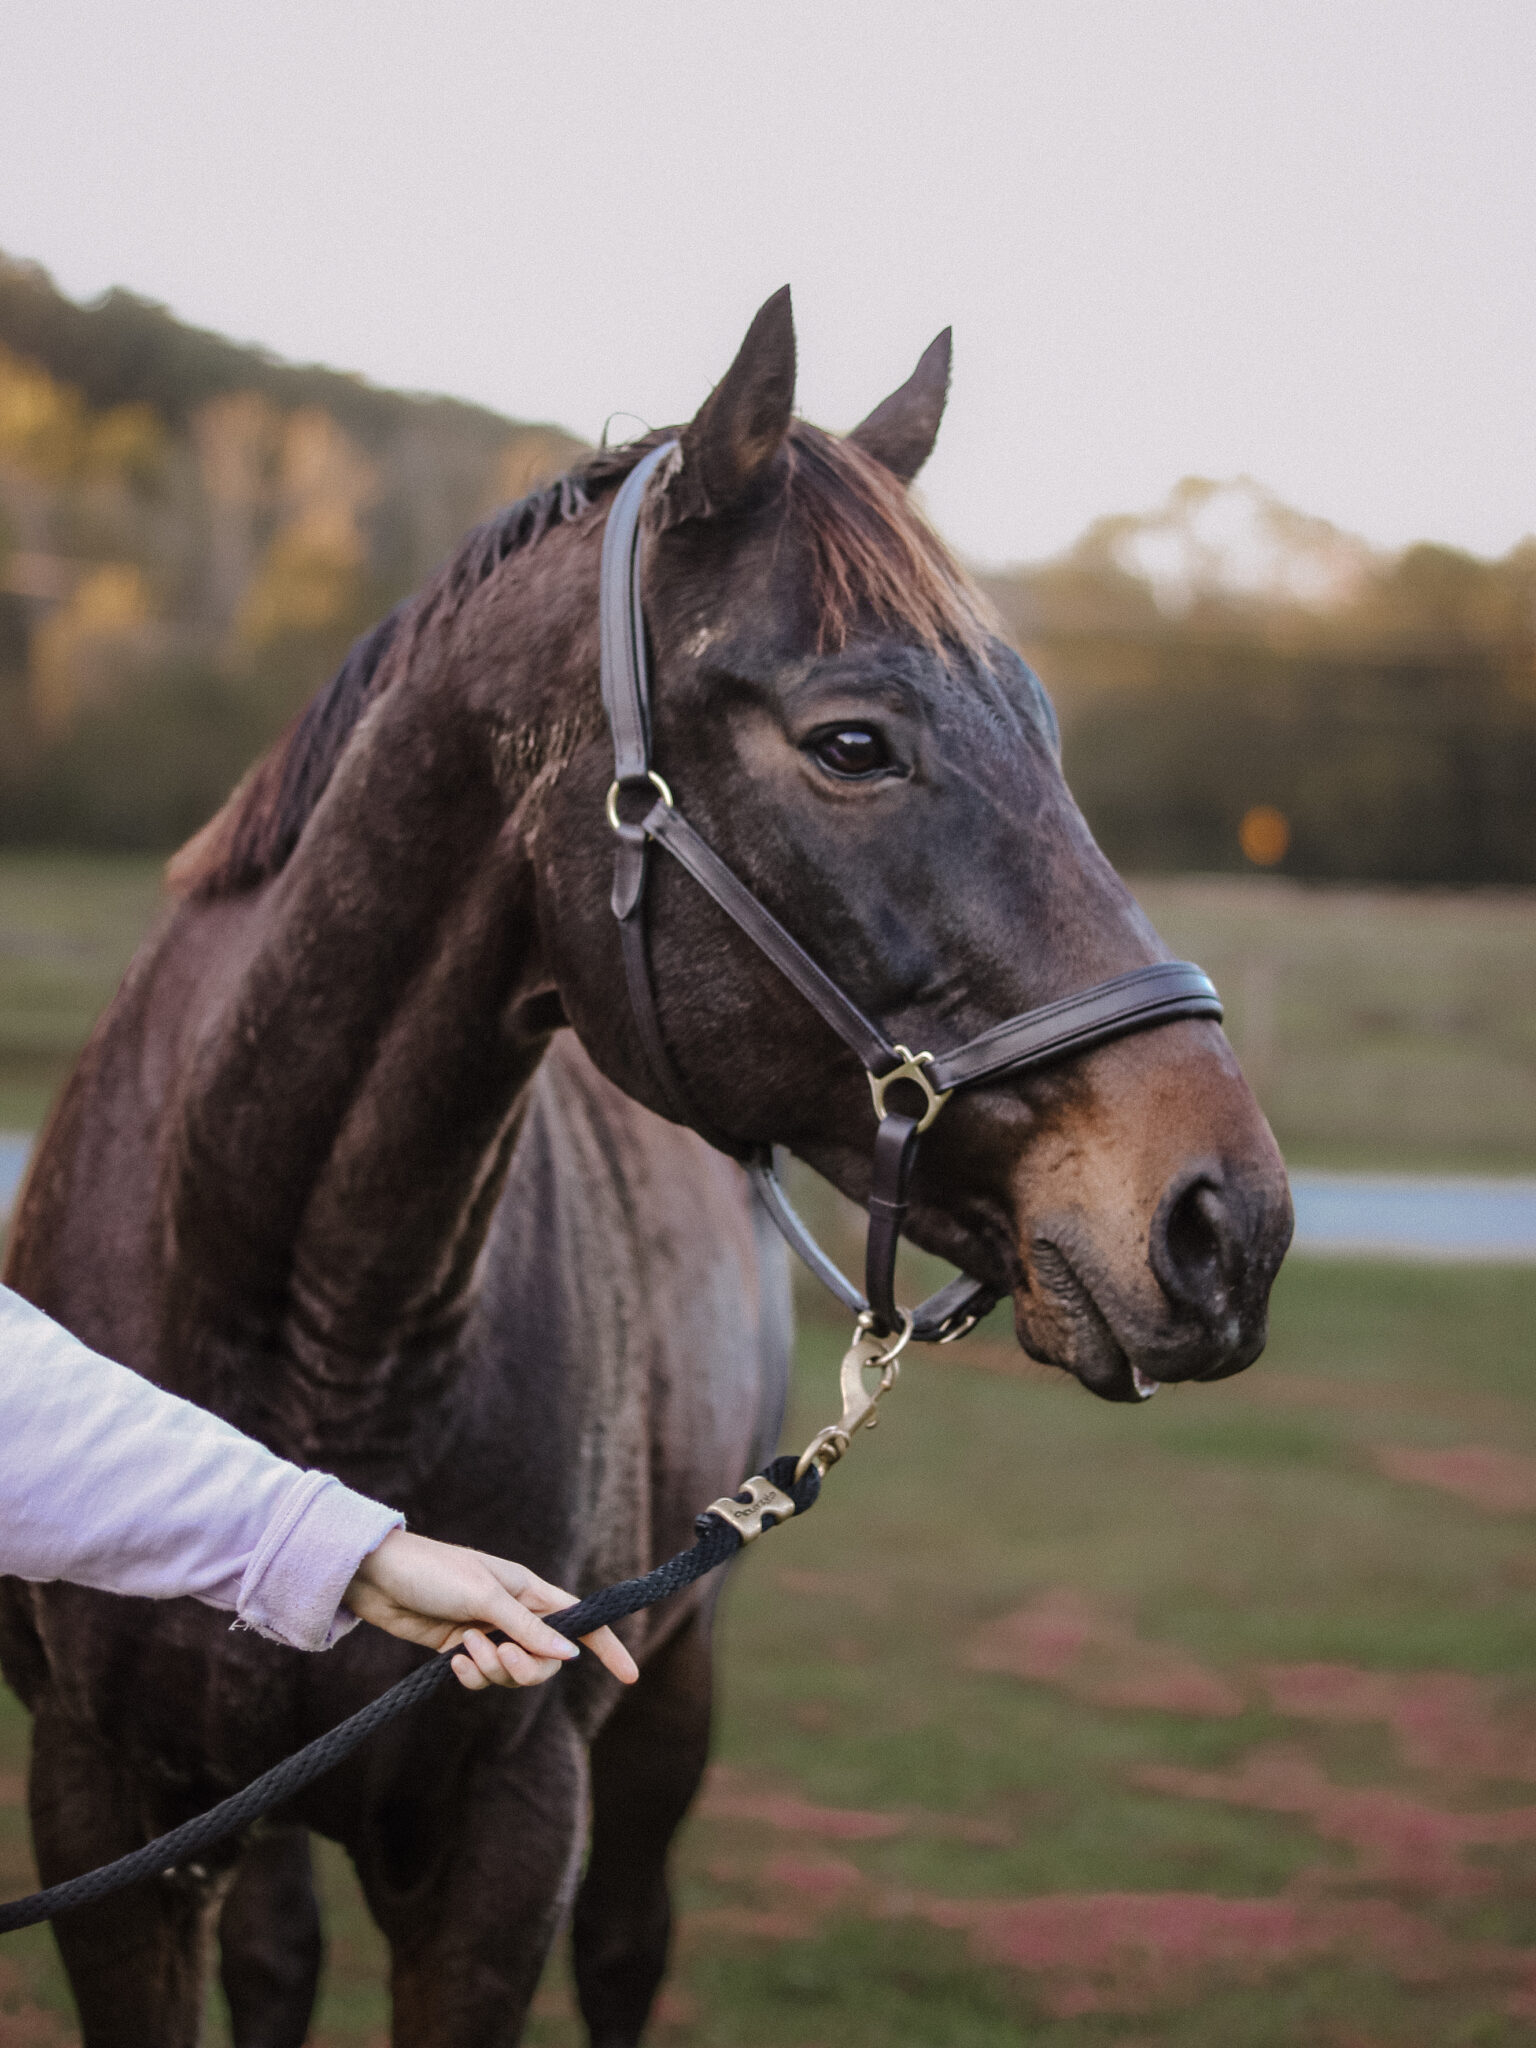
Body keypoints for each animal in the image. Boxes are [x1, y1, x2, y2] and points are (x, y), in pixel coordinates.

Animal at [0, 289, 1291, 2047]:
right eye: (854, 742)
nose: (1229, 1225)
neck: (291, 1318)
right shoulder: (109, 1823)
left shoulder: (506, 1827)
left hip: (676, 1690)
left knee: (628, 1947)